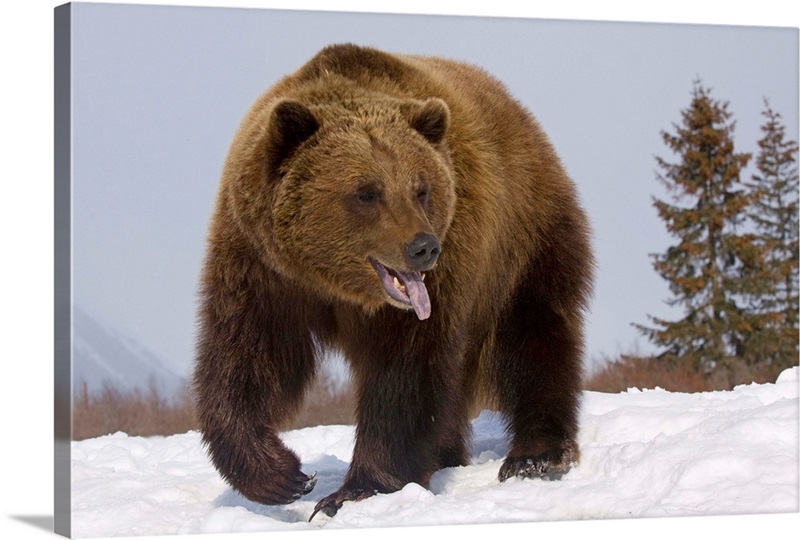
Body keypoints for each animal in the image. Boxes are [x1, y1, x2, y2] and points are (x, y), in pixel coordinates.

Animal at [193, 43, 593, 519]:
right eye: (367, 192)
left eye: (421, 188)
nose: (424, 247)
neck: (334, 285)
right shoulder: (262, 269)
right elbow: (248, 359)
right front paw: (282, 475)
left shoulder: (437, 280)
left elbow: (403, 373)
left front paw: (352, 491)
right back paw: (447, 454)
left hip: (522, 236)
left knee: (533, 332)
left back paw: (535, 455)